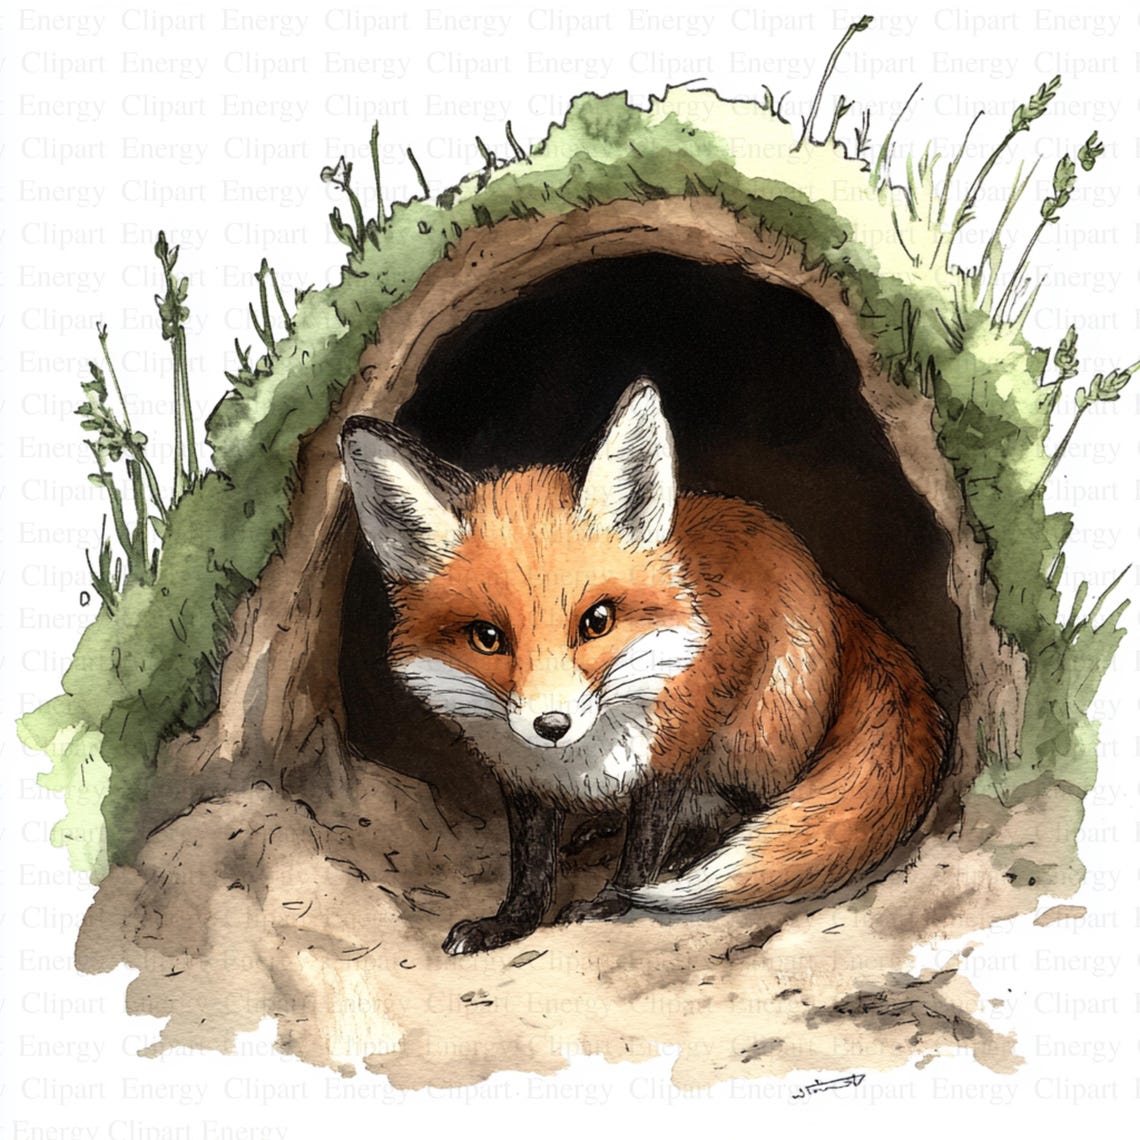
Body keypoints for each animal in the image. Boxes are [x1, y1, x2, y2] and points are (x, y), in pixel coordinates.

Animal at [339, 378, 949, 955]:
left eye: (597, 620)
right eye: (487, 637)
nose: (551, 725)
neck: (576, 761)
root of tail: (831, 591)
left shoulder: (672, 757)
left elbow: (643, 851)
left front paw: (614, 900)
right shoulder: (522, 782)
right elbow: (531, 869)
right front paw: (509, 923)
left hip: (754, 743)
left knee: (736, 811)